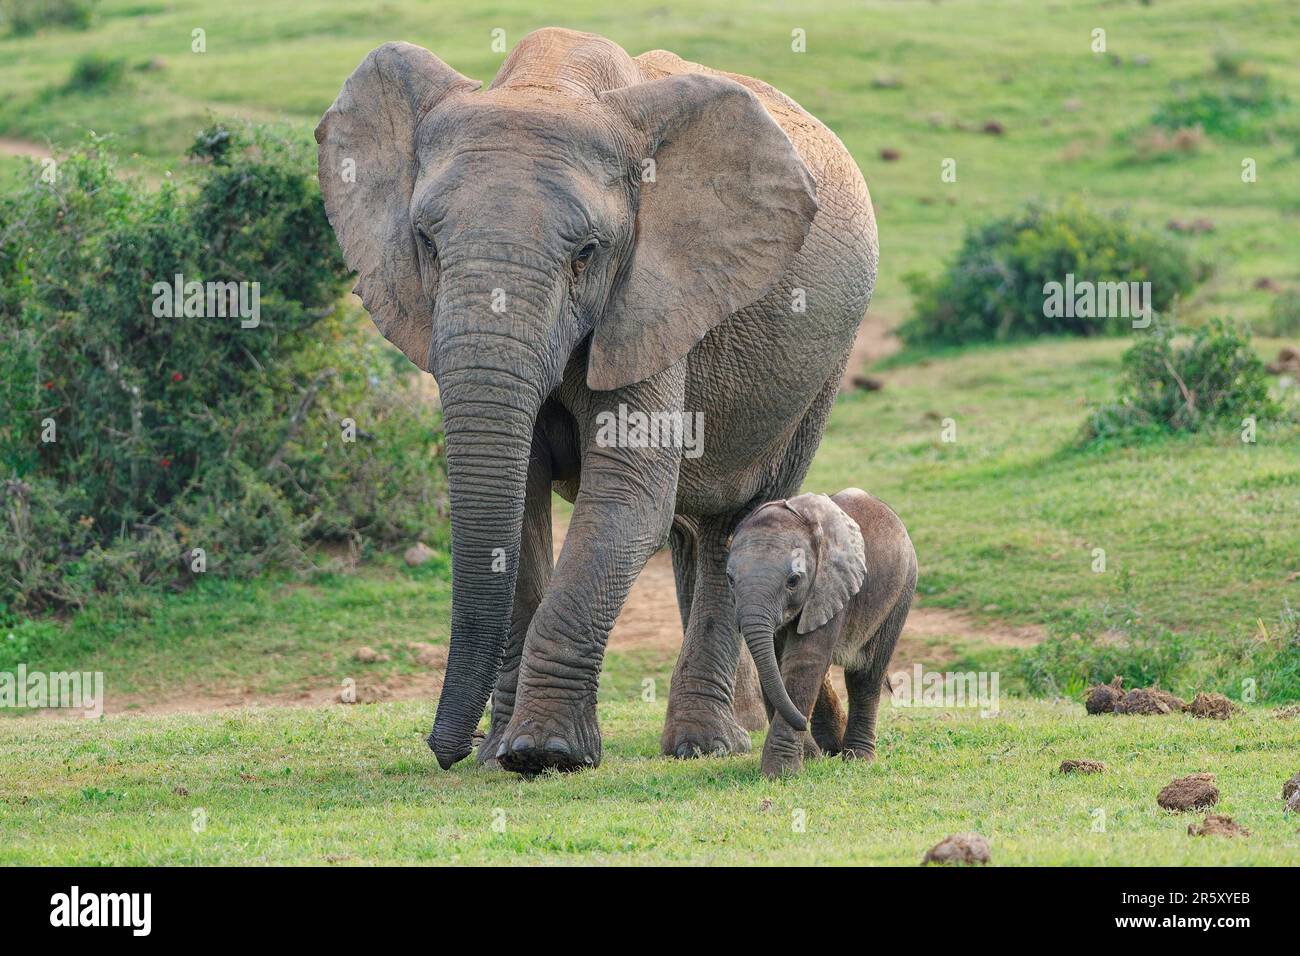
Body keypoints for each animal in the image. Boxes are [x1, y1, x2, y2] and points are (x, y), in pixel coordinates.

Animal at [315, 28, 877, 774]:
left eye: (585, 253)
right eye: (427, 244)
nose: (444, 752)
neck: (554, 80)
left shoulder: (651, 297)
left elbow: (625, 496)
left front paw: (543, 752)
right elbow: (521, 503)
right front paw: (501, 753)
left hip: (820, 370)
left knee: (739, 521)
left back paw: (706, 745)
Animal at [725, 489, 916, 778]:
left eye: (793, 581)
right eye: (730, 580)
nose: (801, 722)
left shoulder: (831, 587)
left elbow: (805, 659)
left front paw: (781, 774)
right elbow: (777, 664)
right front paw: (807, 758)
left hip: (902, 590)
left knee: (865, 675)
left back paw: (857, 758)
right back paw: (827, 751)